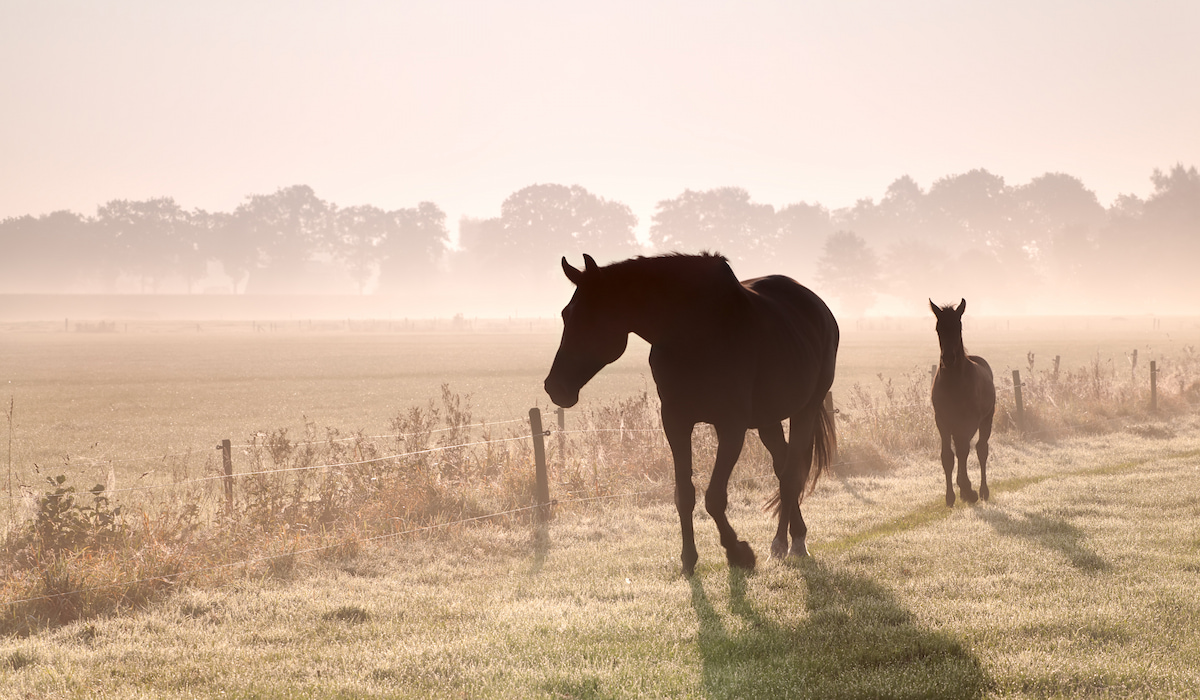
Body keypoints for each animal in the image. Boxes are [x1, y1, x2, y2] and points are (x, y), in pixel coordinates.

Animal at [544, 253, 839, 576]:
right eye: (565, 314)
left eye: (591, 317)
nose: (555, 387)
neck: (693, 331)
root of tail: (818, 307)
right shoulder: (676, 422)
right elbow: (684, 495)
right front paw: (688, 558)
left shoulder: (731, 427)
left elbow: (714, 498)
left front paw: (739, 553)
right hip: (769, 420)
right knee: (782, 466)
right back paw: (790, 538)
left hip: (805, 409)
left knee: (790, 475)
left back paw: (787, 543)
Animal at [930, 298, 996, 507]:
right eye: (938, 328)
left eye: (958, 326)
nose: (948, 358)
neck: (953, 383)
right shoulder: (942, 420)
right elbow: (948, 456)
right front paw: (951, 496)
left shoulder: (968, 421)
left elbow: (964, 450)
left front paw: (968, 489)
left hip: (986, 420)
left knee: (981, 449)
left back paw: (982, 491)